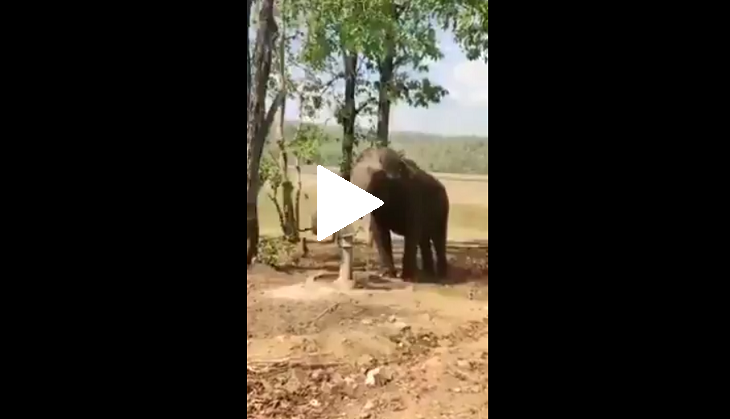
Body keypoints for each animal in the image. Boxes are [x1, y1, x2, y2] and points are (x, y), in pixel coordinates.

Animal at [350, 147, 449, 280]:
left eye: (377, 181)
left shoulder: (412, 199)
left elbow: (412, 232)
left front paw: (407, 277)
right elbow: (380, 232)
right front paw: (386, 274)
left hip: (442, 208)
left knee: (438, 237)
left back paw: (441, 275)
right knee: (424, 240)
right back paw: (427, 273)